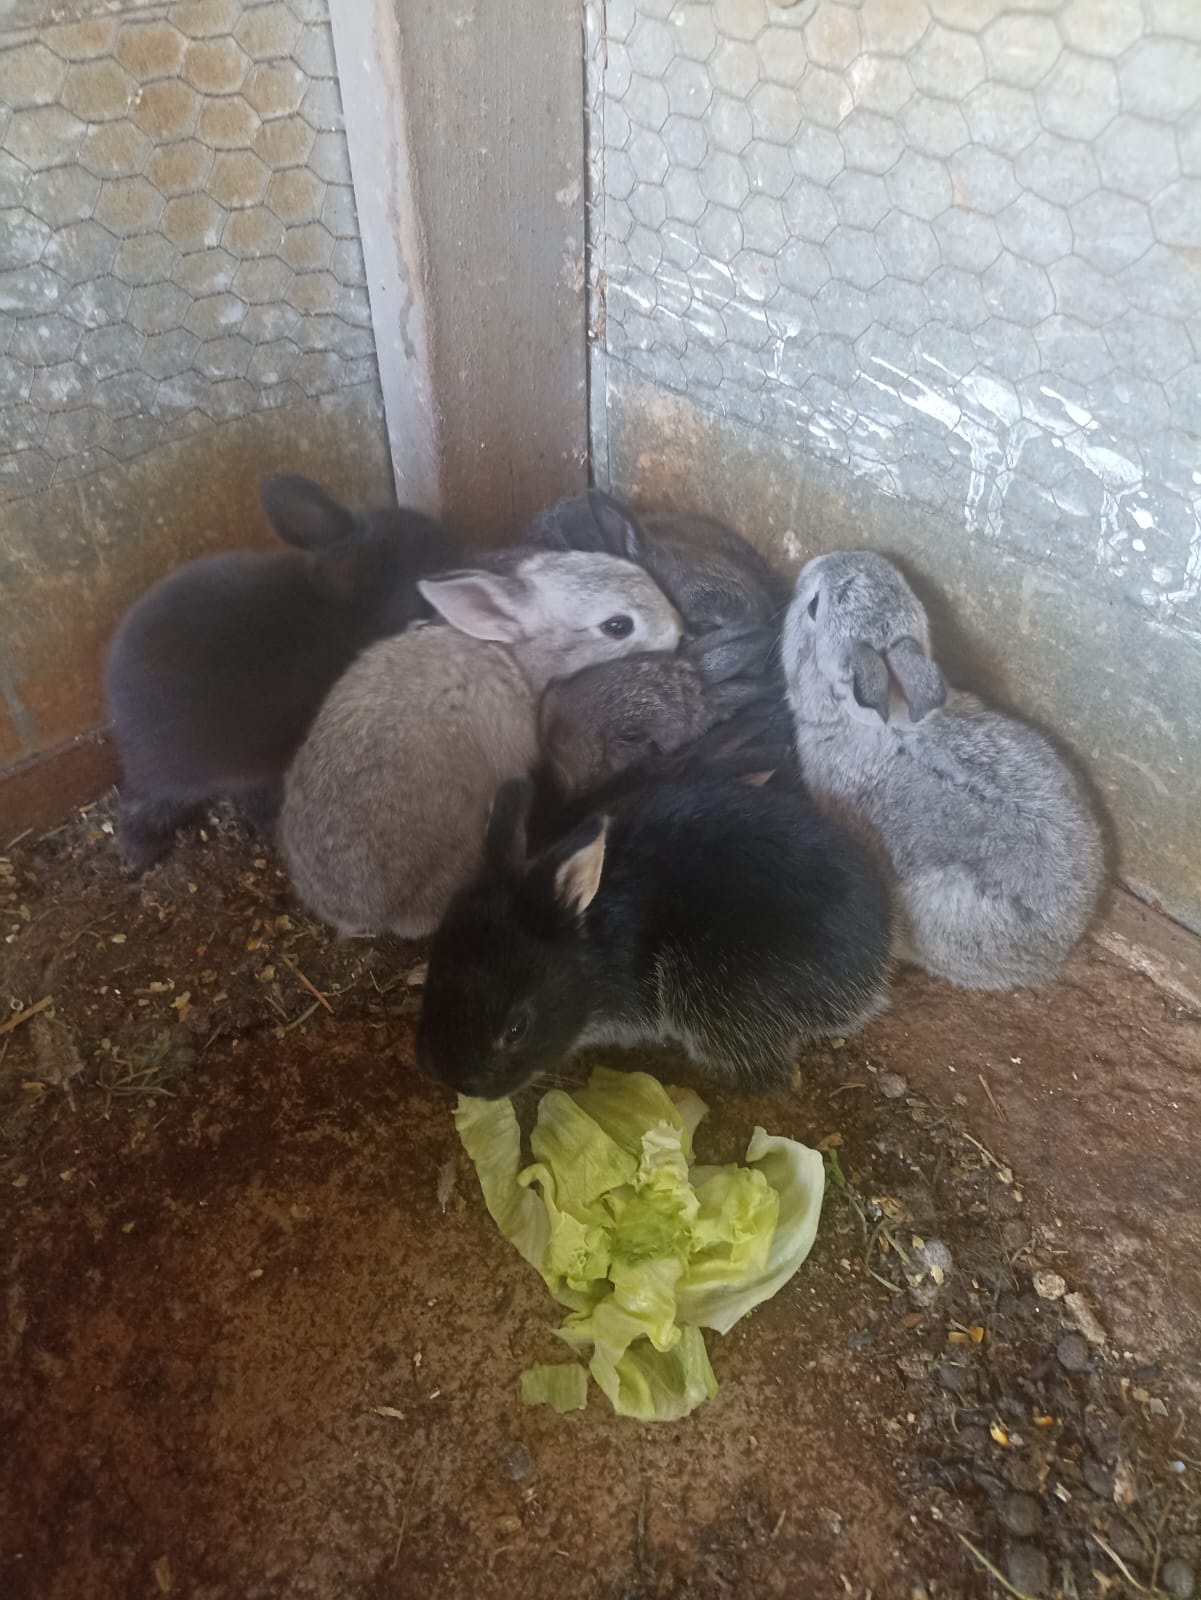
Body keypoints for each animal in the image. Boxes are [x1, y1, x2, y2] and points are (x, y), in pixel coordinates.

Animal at [416, 770, 893, 1099]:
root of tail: (873, 970)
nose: (459, 1082)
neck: (593, 943)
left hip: (708, 990)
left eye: (517, 1027)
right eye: (432, 979)